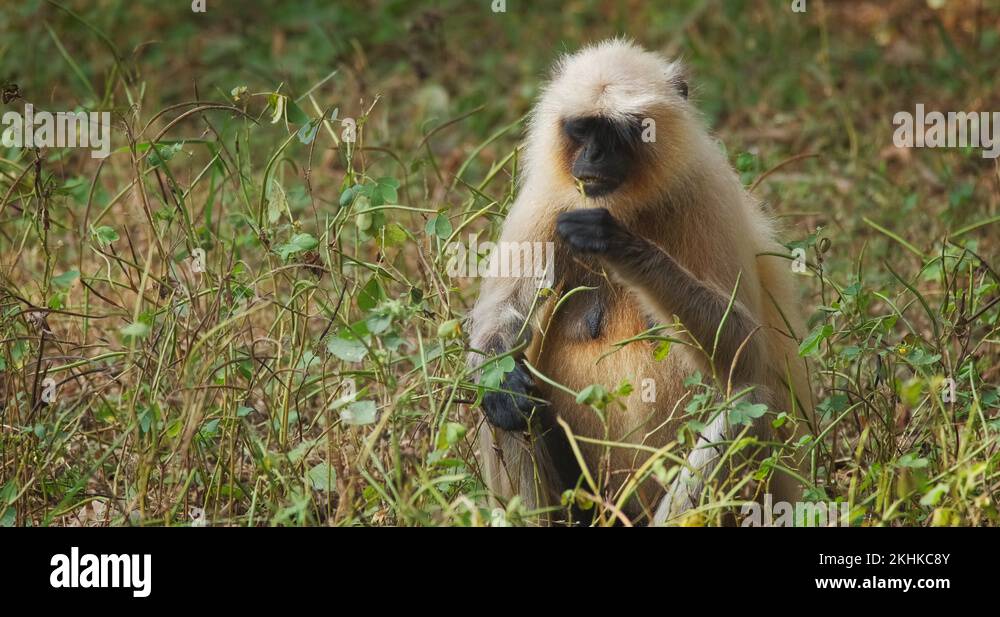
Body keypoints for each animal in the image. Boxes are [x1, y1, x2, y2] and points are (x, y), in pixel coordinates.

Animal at [466, 39, 815, 525]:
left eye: (618, 132)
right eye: (583, 129)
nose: (593, 156)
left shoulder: (708, 192)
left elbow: (745, 351)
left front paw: (616, 243)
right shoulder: (548, 198)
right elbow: (501, 323)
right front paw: (501, 387)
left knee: (748, 406)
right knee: (508, 407)